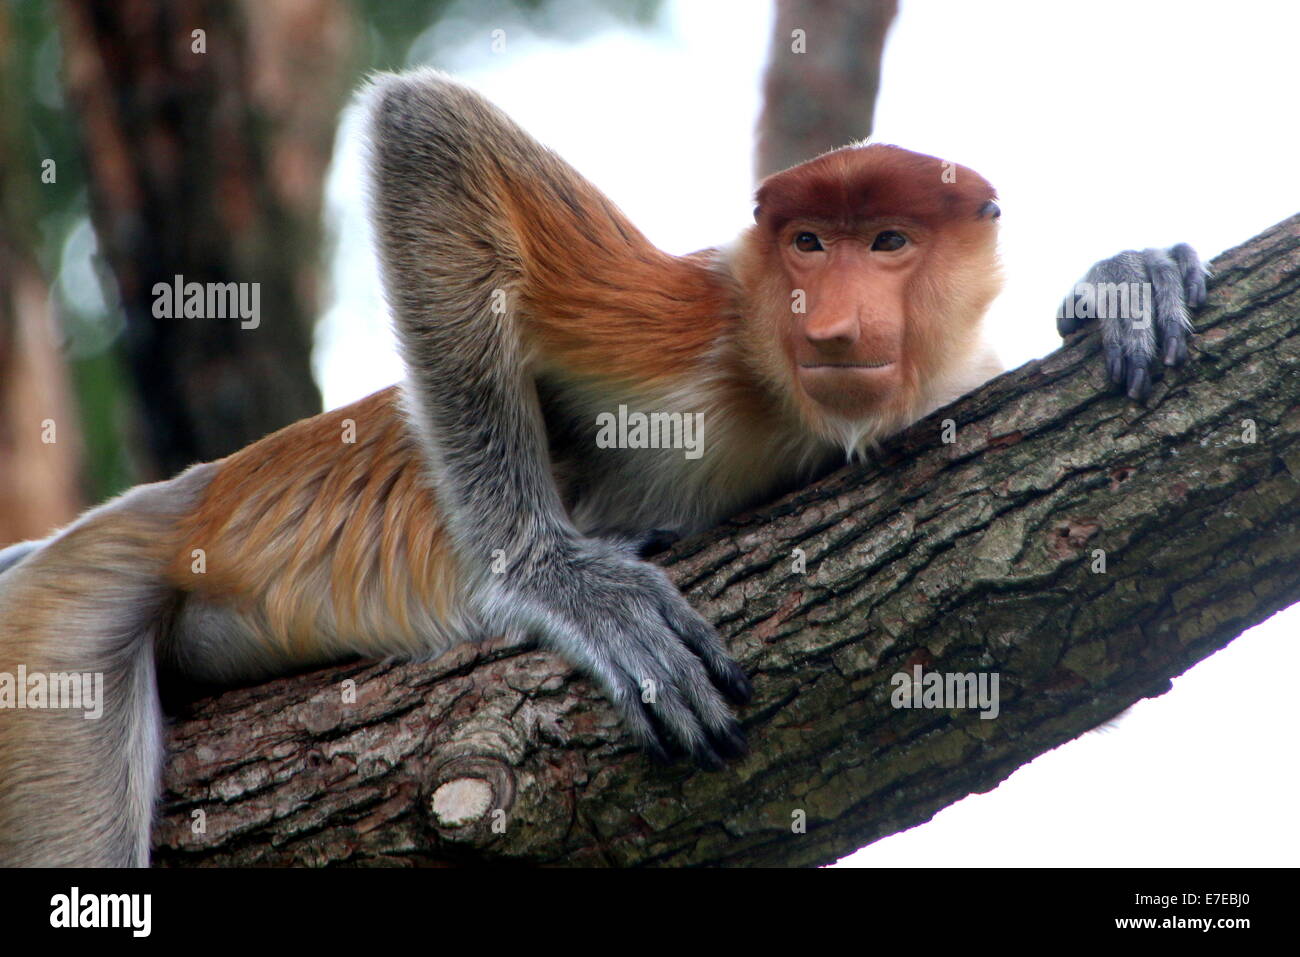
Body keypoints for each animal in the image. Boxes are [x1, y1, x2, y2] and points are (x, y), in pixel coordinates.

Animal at [0, 70, 1205, 866]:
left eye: (889, 243)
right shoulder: (707, 321)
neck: (783, 396)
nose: (829, 319)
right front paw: (562, 583)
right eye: (809, 243)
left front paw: (1125, 284)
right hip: (65, 618)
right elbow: (427, 135)